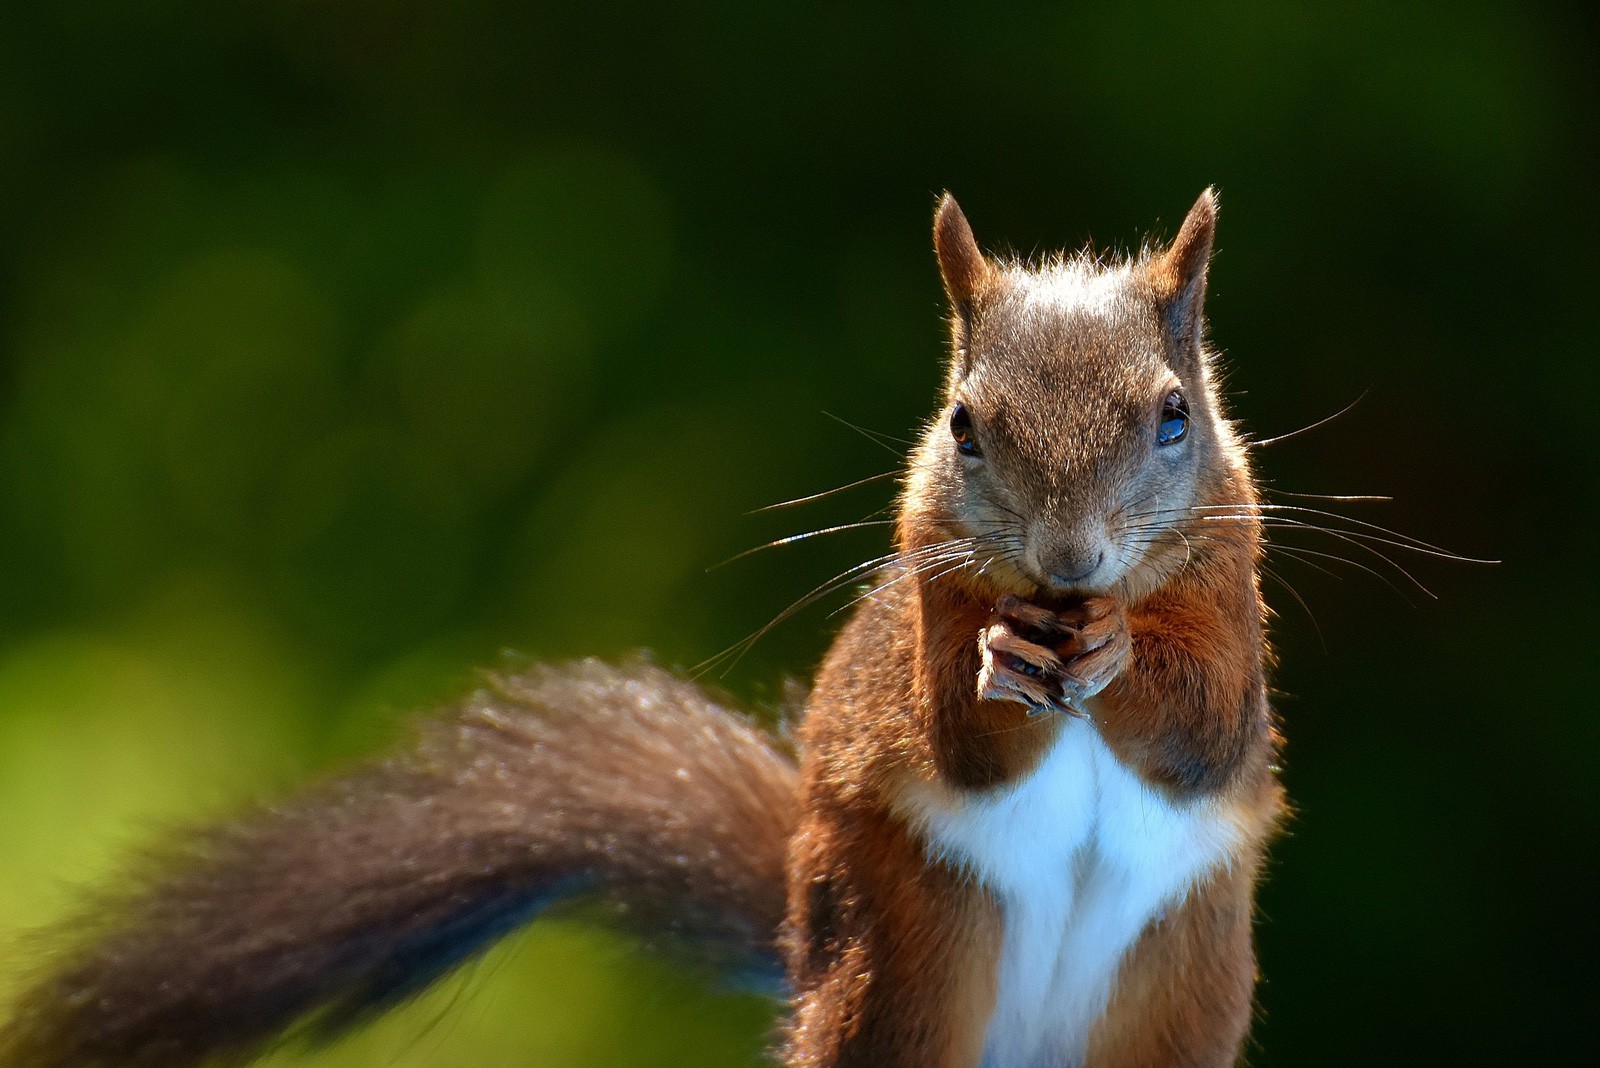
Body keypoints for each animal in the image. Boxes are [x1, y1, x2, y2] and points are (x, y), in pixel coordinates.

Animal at [0, 189, 1283, 1068]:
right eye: (963, 426)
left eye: (1175, 417)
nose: (1069, 564)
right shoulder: (919, 619)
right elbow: (955, 742)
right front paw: (999, 664)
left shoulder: (1230, 609)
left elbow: (1205, 734)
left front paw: (1119, 651)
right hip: (896, 965)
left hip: (1176, 993)